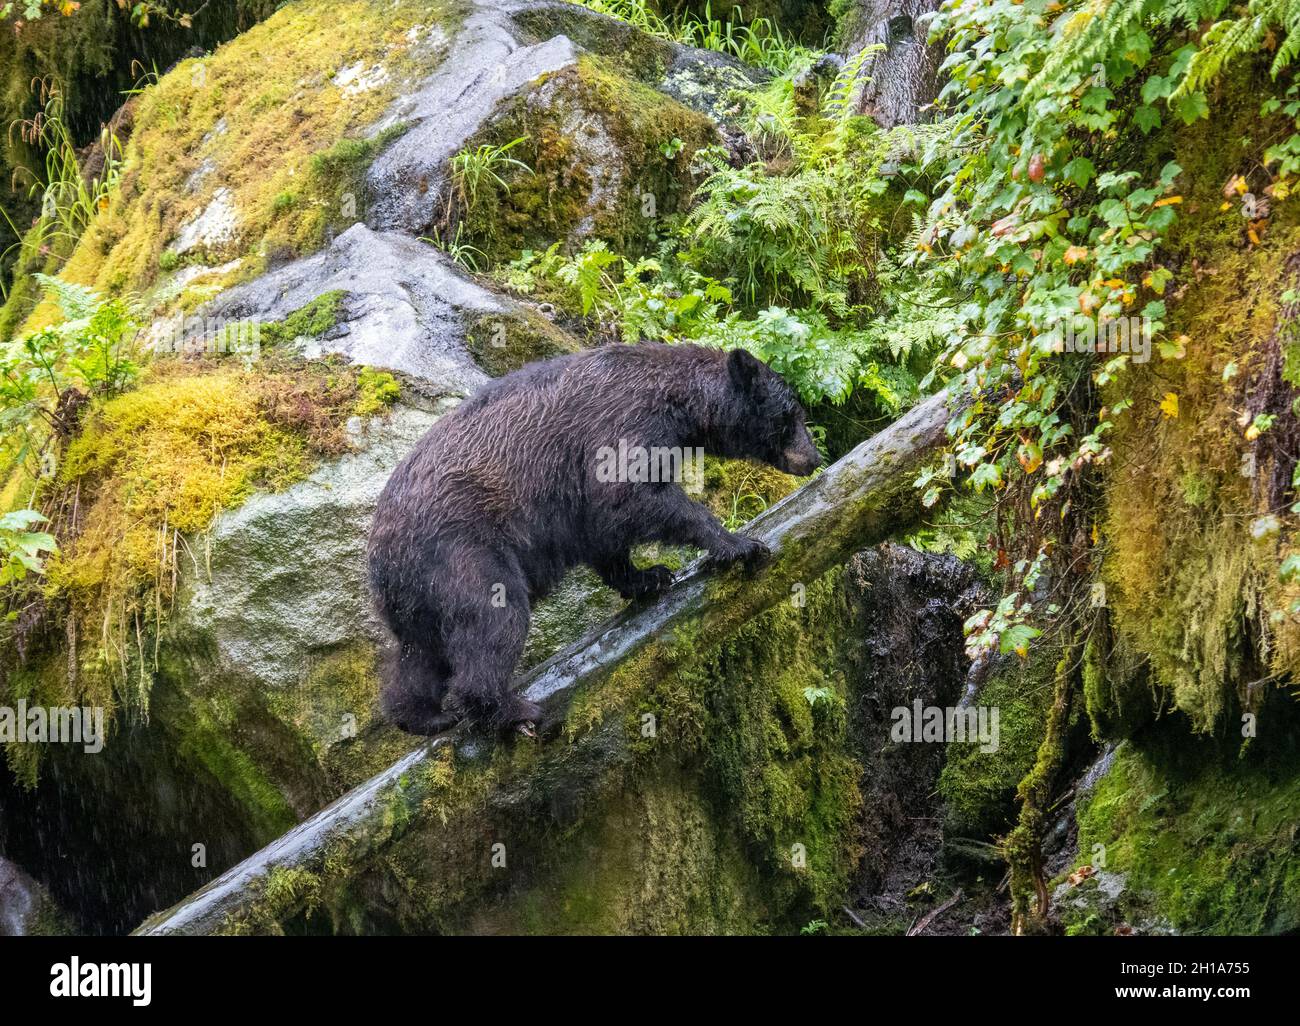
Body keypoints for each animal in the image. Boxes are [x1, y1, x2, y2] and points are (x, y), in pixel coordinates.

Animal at [366, 342, 822, 736]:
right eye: (792, 415)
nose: (815, 458)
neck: (679, 402)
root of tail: (379, 558)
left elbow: (604, 533)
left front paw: (648, 576)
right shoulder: (624, 422)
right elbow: (629, 494)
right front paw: (738, 543)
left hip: (417, 594)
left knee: (418, 655)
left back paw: (423, 716)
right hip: (463, 551)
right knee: (494, 618)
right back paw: (512, 710)